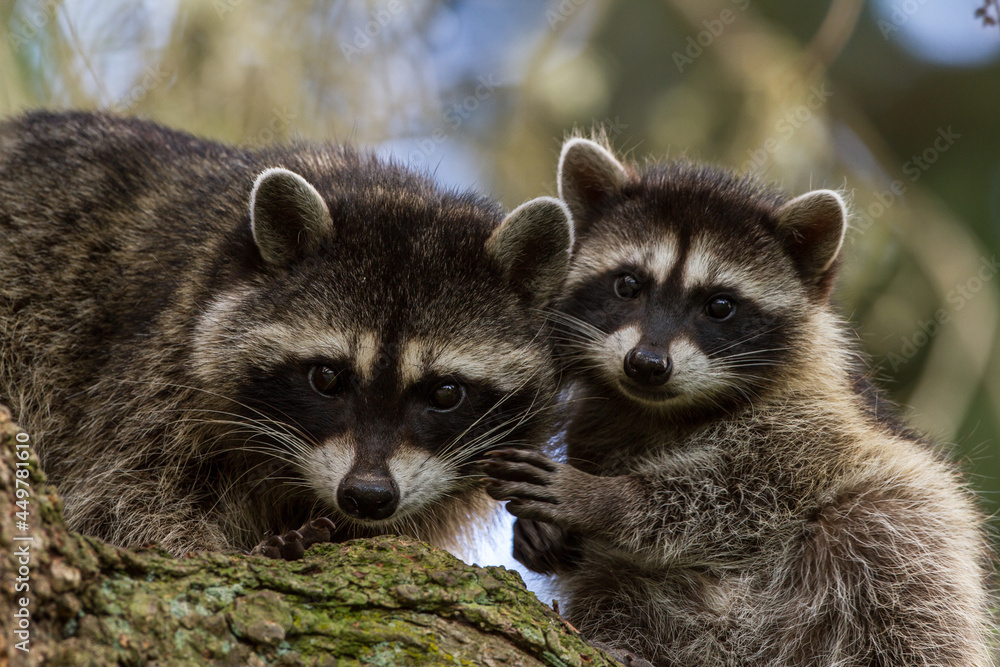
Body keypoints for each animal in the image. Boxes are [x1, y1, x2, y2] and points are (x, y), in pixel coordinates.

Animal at [482, 137, 994, 666]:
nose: (645, 364)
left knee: (881, 548)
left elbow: (737, 495)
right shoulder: (599, 423)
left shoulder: (814, 426)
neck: (660, 409)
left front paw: (607, 499)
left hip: (911, 542)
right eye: (627, 284)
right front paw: (542, 532)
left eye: (720, 306)